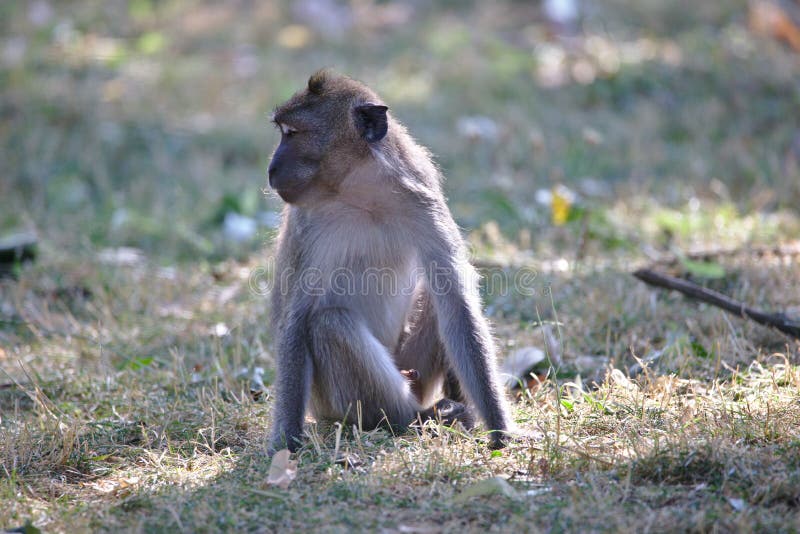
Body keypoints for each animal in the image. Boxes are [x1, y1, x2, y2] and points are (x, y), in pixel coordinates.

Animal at [266, 70, 512, 453]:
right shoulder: (308, 225)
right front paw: (286, 444)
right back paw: (412, 418)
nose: (271, 168)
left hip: (412, 369)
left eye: (292, 133)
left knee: (434, 300)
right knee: (329, 322)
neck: (362, 193)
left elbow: (456, 301)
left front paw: (499, 429)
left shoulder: (422, 199)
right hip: (333, 401)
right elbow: (296, 315)